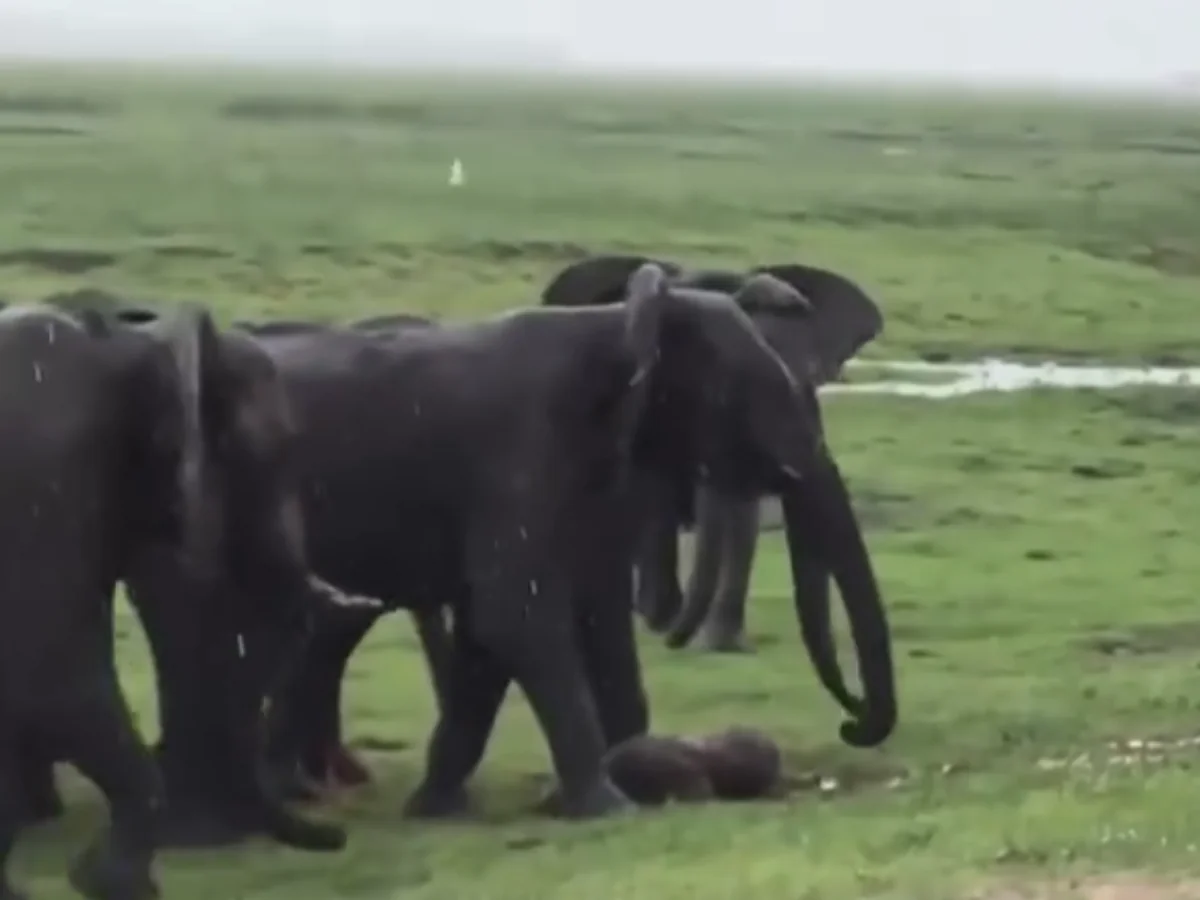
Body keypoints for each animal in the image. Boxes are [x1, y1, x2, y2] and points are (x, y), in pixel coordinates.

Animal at [0, 301, 378, 899]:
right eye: (278, 449)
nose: (338, 835)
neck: (130, 341)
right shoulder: (45, 488)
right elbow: (58, 686)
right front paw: (114, 883)